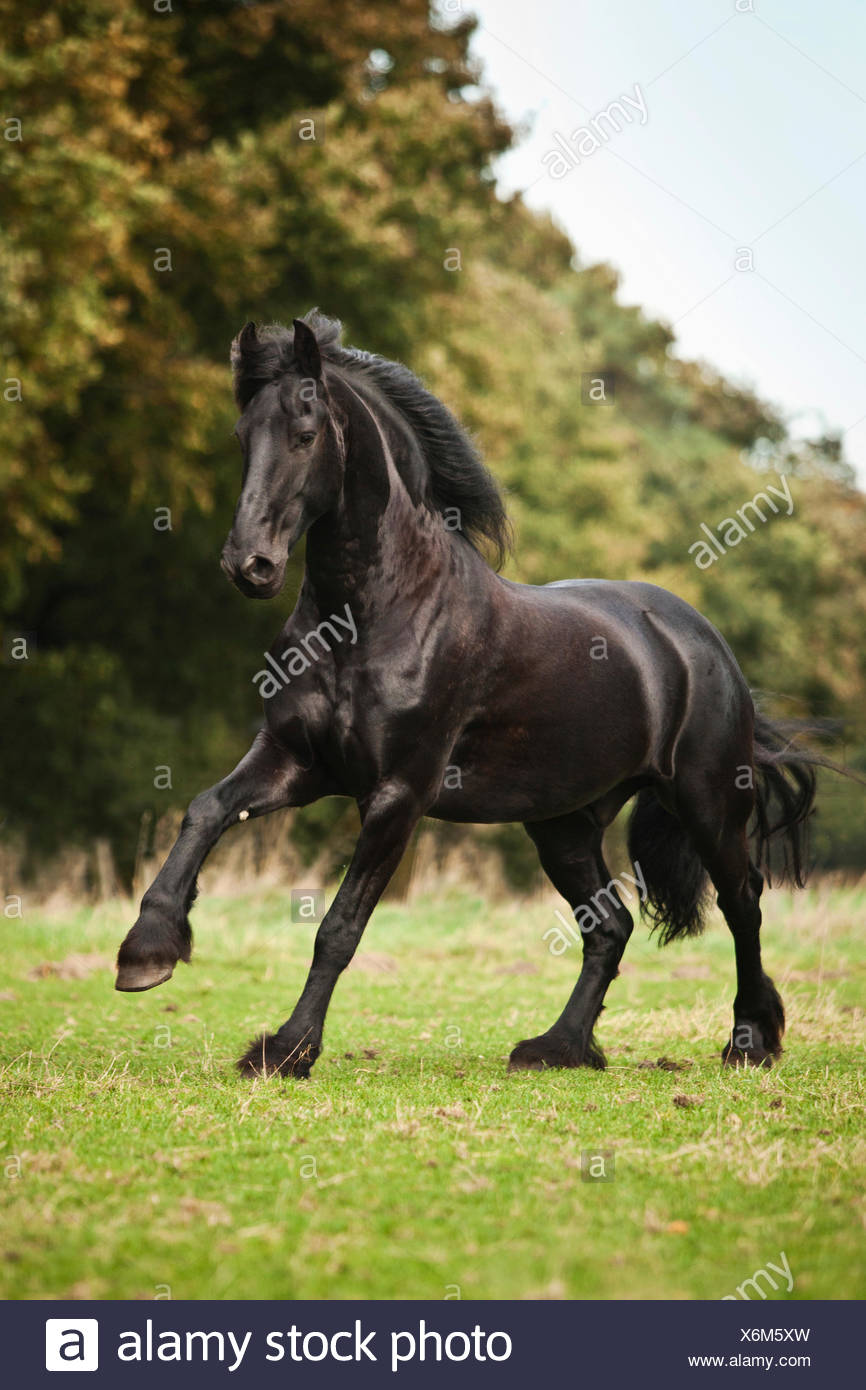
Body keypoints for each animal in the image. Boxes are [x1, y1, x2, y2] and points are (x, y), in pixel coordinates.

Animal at [115, 311, 825, 1078]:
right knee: (611, 925)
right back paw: (557, 1049)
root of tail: (703, 642)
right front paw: (147, 951)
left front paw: (286, 1050)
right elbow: (205, 810)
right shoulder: (295, 762)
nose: (249, 566)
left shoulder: (399, 793)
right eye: (243, 435)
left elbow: (340, 925)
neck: (368, 614)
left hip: (707, 801)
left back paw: (748, 1042)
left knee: (743, 904)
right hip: (564, 823)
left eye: (304, 433)